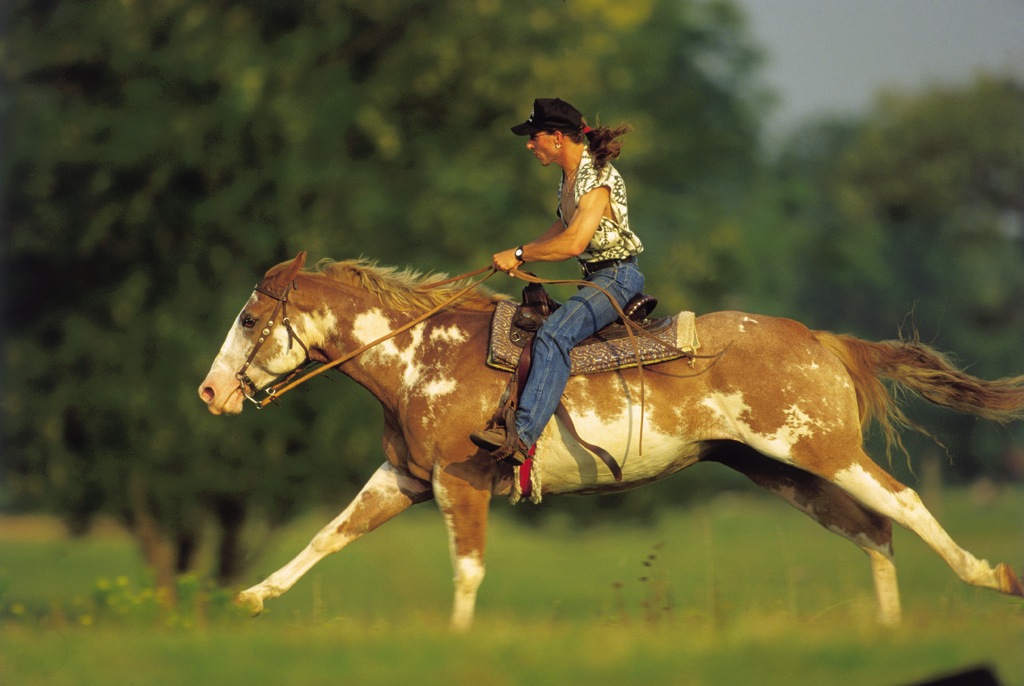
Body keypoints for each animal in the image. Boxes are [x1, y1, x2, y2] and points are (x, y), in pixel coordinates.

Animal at [198, 251, 1024, 629]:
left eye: (249, 317)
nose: (209, 392)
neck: (418, 357)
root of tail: (820, 337)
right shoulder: (403, 479)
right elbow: (330, 535)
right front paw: (254, 596)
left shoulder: (460, 483)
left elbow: (467, 567)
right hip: (779, 469)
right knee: (871, 530)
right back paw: (888, 627)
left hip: (819, 451)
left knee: (902, 502)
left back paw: (992, 576)